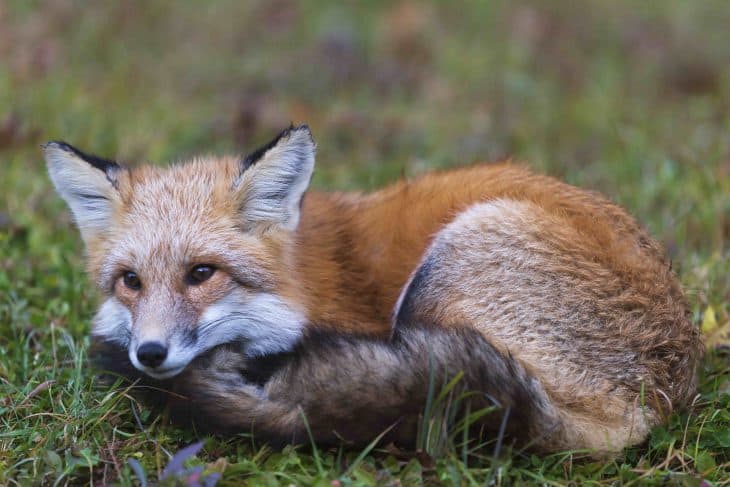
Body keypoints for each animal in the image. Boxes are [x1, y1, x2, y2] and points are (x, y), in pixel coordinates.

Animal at [44, 124, 702, 456]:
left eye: (201, 273)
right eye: (130, 282)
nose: (149, 354)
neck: (306, 283)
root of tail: (648, 407)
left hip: (450, 262)